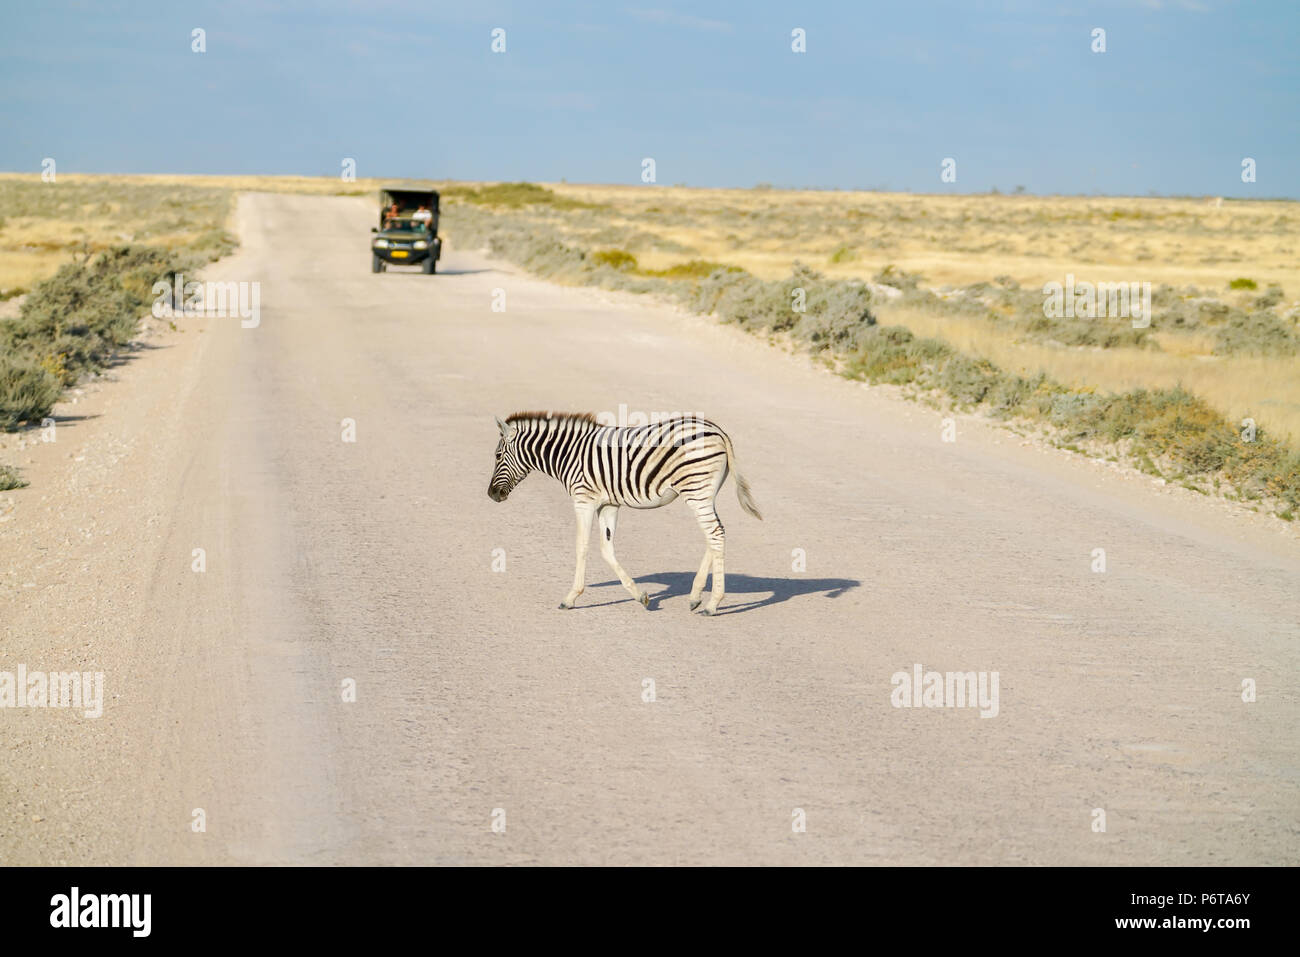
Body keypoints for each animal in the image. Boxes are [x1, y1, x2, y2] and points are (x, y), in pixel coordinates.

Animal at [487, 411, 762, 615]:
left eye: (498, 455)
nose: (491, 495)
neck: (569, 454)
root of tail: (718, 430)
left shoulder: (583, 500)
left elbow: (581, 546)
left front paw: (570, 598)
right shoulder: (608, 504)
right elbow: (606, 549)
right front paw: (640, 595)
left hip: (696, 490)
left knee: (715, 534)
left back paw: (713, 604)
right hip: (703, 493)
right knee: (715, 535)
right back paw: (695, 597)